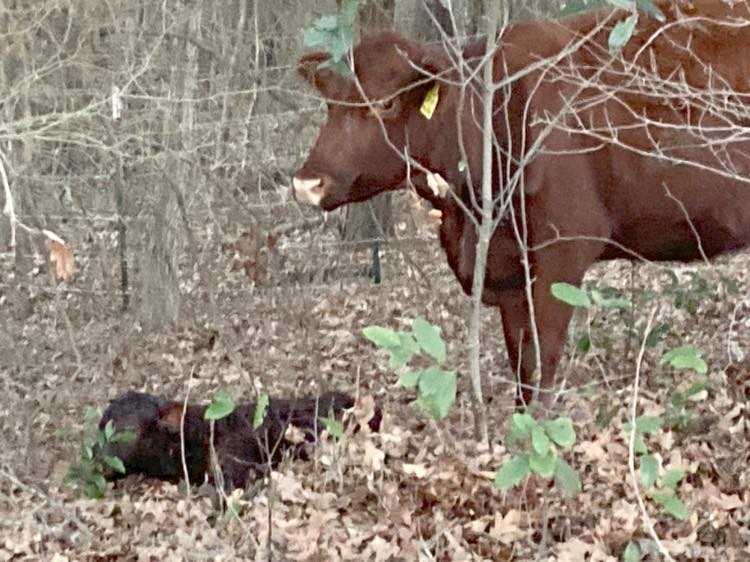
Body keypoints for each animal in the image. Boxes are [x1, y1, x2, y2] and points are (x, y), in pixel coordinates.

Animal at [292, 0, 750, 407]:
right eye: (330, 103)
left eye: (385, 103)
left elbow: (541, 361)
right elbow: (521, 365)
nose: (306, 183)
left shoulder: (564, 249)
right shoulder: (507, 269)